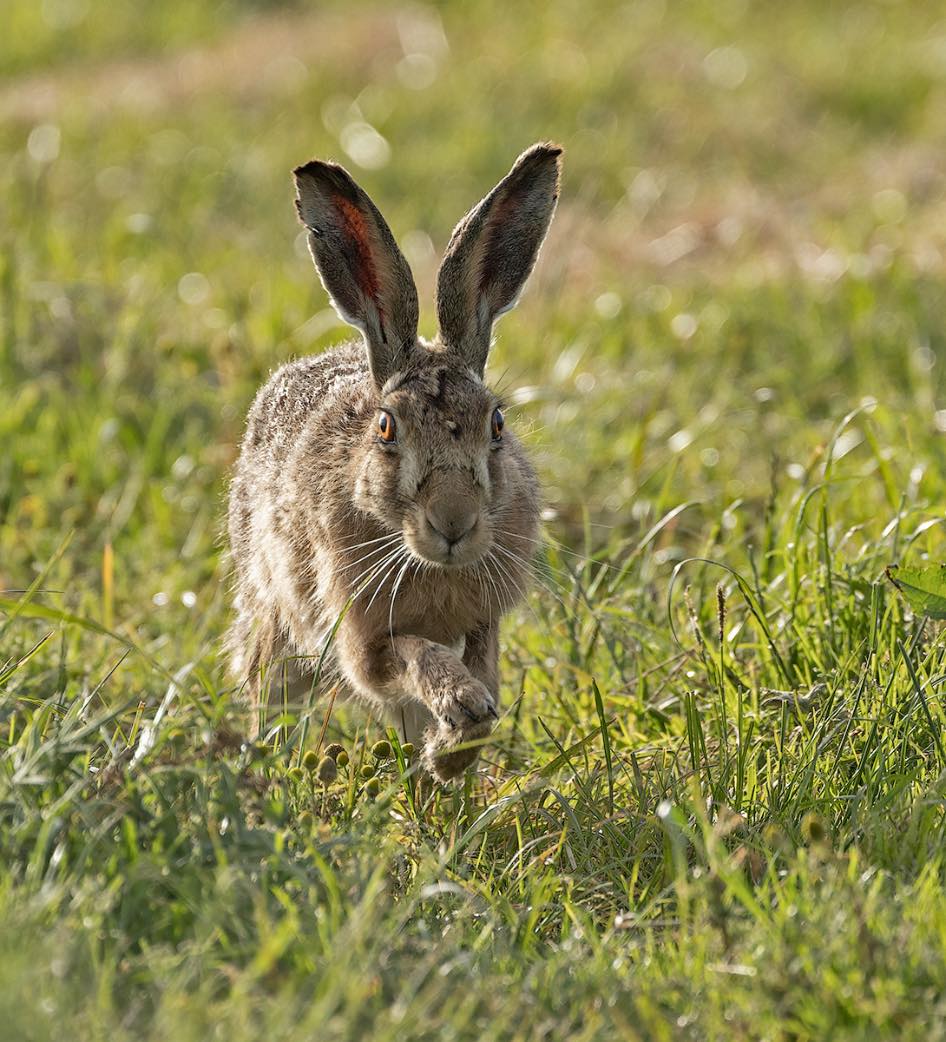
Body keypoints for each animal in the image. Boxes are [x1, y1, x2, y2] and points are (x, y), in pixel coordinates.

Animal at [226, 142, 562, 781]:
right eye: (386, 428)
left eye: (497, 424)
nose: (453, 523)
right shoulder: (361, 638)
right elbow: (408, 656)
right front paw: (458, 712)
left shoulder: (484, 622)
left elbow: (482, 677)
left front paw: (456, 750)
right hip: (276, 612)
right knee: (268, 688)